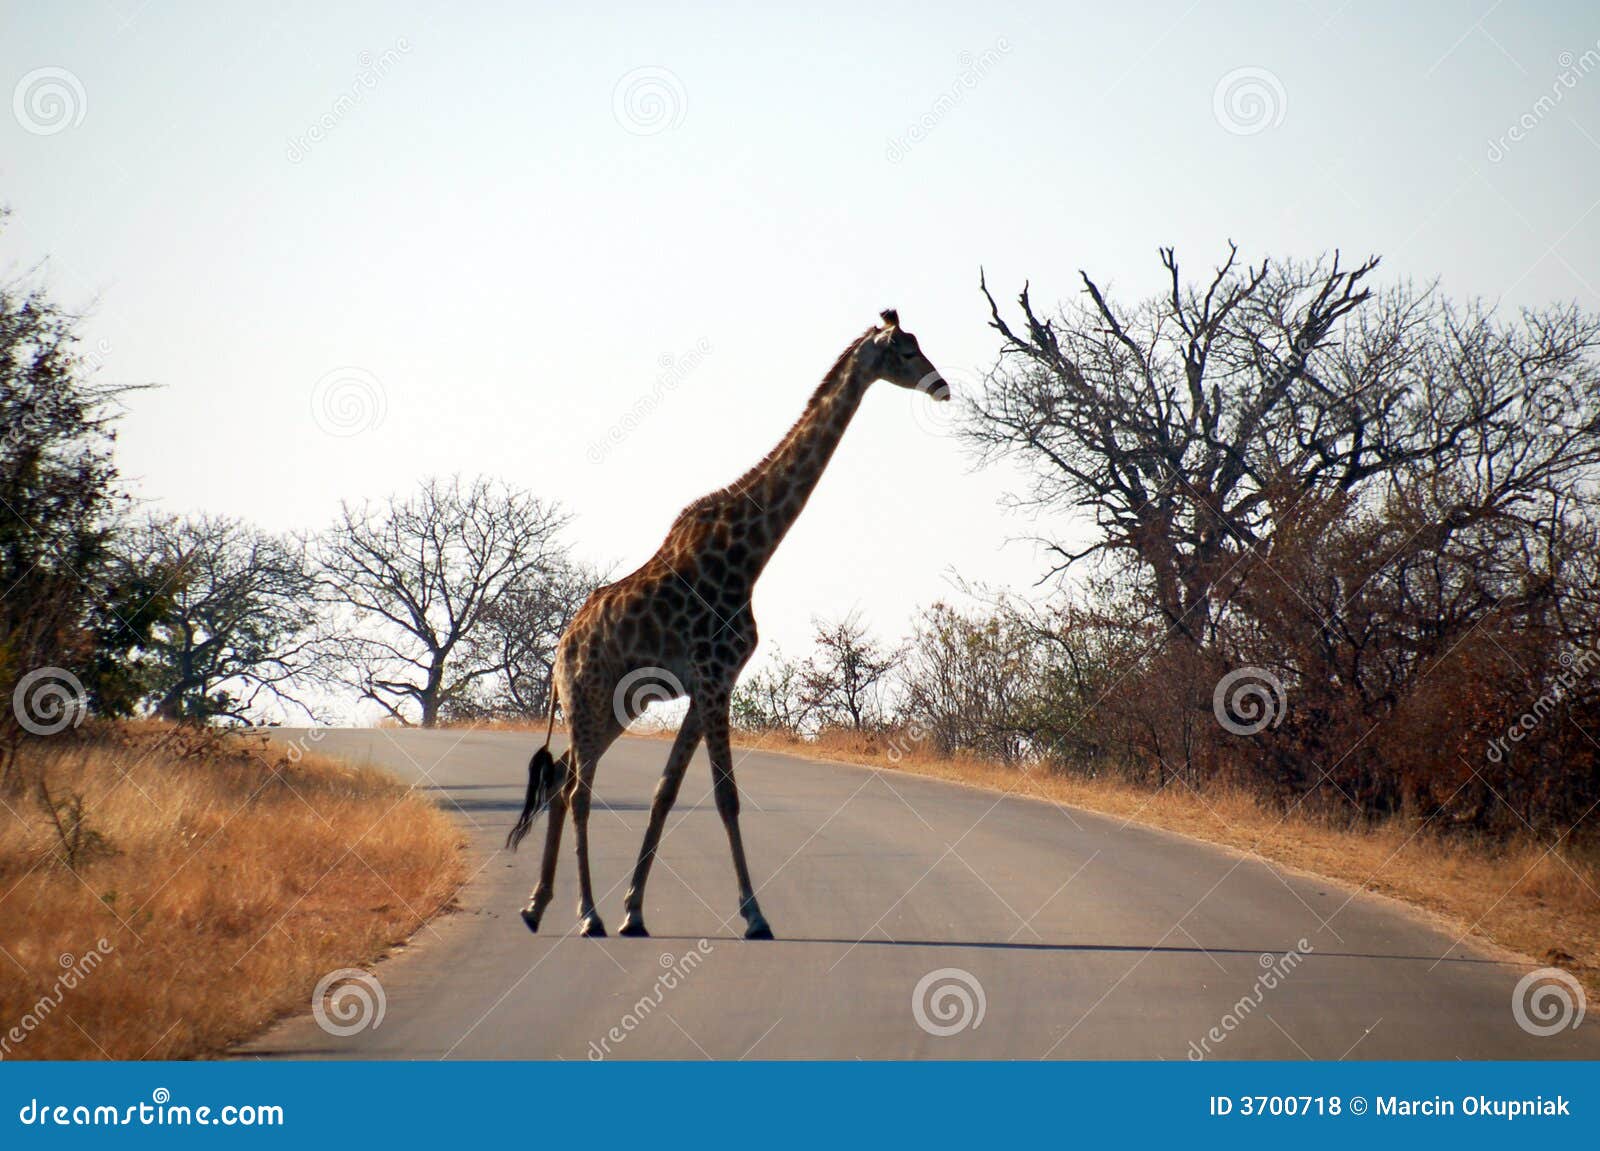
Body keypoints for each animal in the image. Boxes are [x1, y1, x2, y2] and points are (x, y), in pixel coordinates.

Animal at [506, 309, 950, 939]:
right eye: (907, 352)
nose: (943, 386)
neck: (750, 554)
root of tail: (559, 652)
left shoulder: (709, 685)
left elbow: (667, 792)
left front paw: (635, 911)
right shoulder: (715, 679)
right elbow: (726, 797)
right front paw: (755, 915)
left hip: (614, 707)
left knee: (564, 782)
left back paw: (539, 905)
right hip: (587, 699)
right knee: (576, 787)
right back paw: (585, 913)